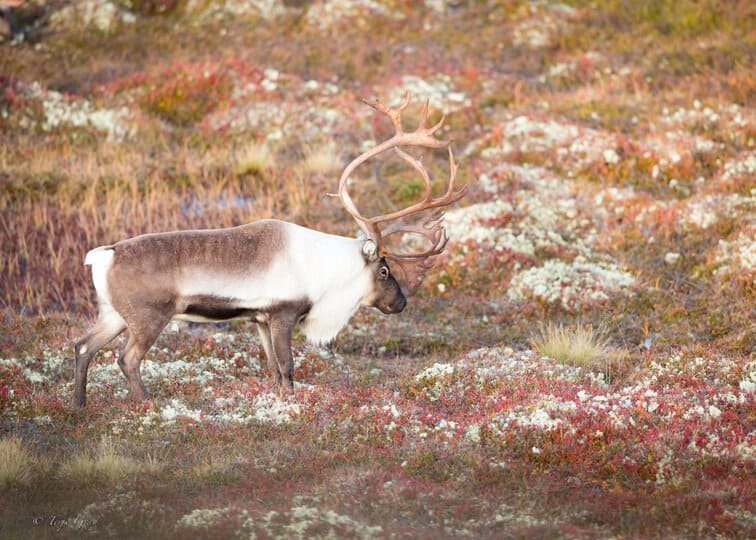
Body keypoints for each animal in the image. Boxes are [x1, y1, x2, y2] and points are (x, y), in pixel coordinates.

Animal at [73, 95, 467, 407]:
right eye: (384, 270)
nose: (400, 303)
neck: (324, 270)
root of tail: (103, 254)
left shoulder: (259, 319)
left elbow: (274, 369)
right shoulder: (282, 315)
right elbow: (288, 367)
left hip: (113, 314)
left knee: (82, 346)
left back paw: (79, 406)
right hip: (148, 316)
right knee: (126, 359)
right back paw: (147, 403)